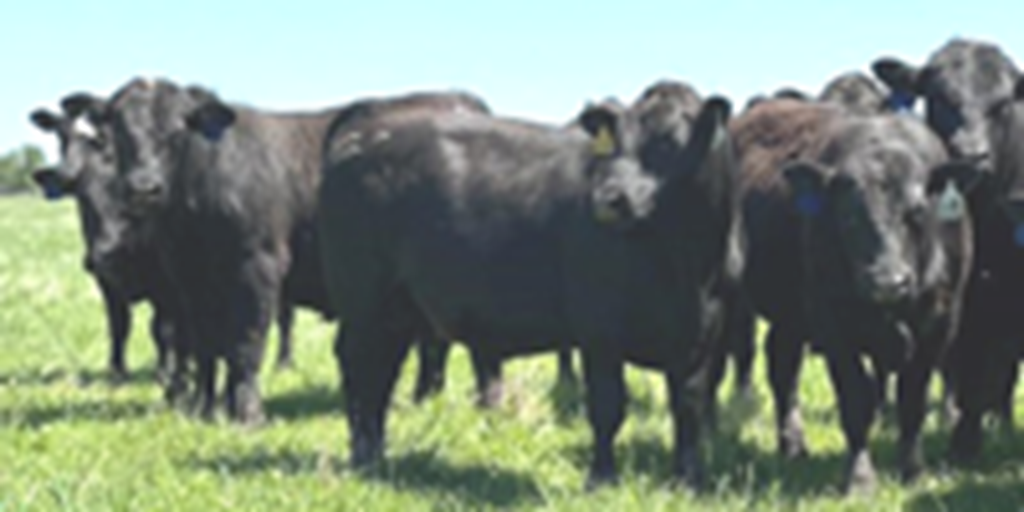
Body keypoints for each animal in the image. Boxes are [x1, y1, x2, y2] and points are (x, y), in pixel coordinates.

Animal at [317, 83, 740, 489]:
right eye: (614, 142)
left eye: (670, 141)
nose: (608, 198)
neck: (684, 267)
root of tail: (362, 134)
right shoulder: (599, 327)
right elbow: (607, 407)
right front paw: (601, 479)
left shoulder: (704, 335)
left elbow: (688, 409)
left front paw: (689, 480)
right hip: (364, 297)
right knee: (358, 364)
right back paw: (362, 456)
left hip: (397, 306)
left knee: (382, 370)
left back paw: (377, 454)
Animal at [733, 98, 978, 492]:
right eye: (847, 216)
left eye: (917, 212)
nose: (887, 281)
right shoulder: (832, 324)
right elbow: (855, 400)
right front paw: (860, 479)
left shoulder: (939, 322)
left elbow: (913, 398)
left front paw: (913, 471)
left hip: (791, 316)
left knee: (782, 362)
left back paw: (793, 445)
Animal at [872, 38, 1024, 459]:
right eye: (939, 98)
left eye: (1002, 103)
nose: (970, 153)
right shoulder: (958, 303)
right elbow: (964, 369)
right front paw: (962, 438)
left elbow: (992, 373)